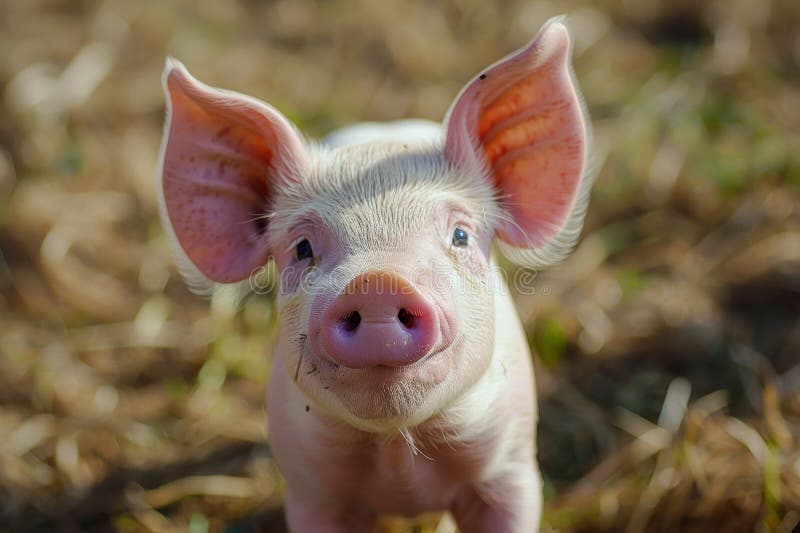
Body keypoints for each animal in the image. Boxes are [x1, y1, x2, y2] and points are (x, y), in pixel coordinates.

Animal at [157, 17, 593, 533]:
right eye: (302, 248)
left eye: (461, 235)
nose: (376, 283)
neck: (395, 451)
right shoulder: (310, 491)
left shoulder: (511, 470)